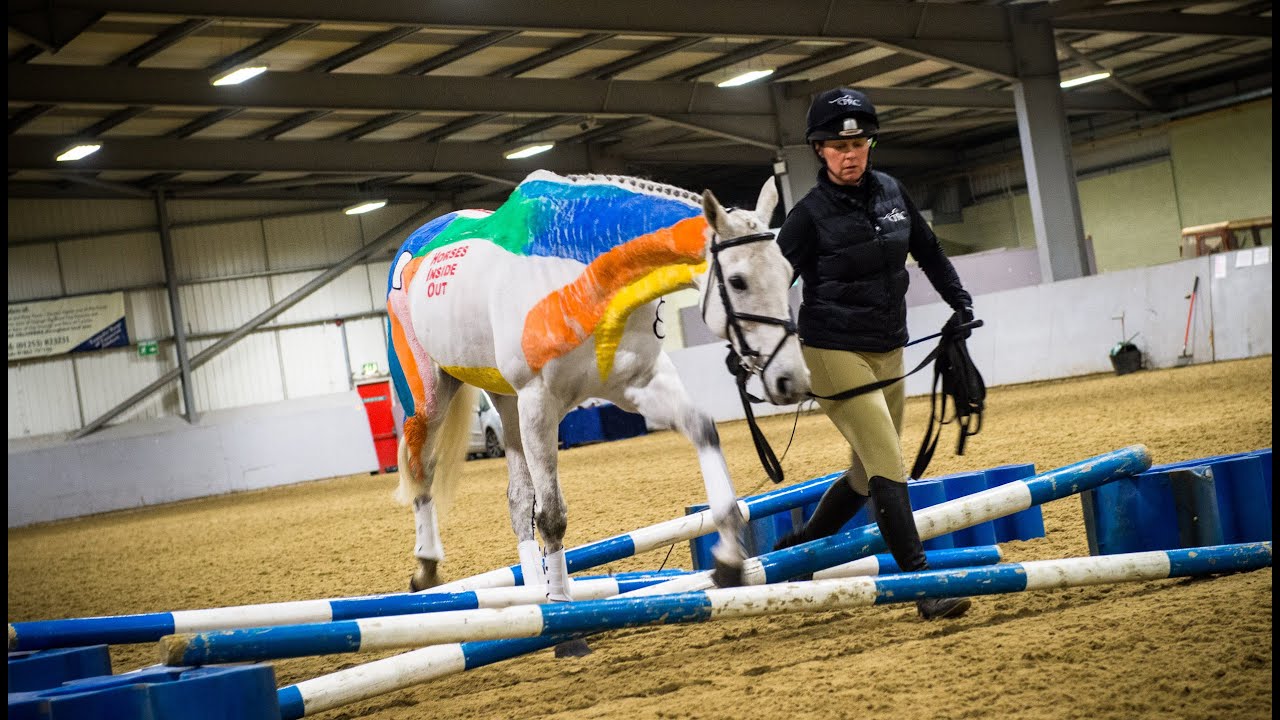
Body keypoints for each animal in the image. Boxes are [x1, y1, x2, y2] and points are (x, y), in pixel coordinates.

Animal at [384, 170, 809, 629]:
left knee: (517, 499)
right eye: (737, 281)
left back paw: (531, 589)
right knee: (422, 467)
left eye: (788, 272)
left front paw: (728, 558)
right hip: (429, 396)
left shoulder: (638, 384)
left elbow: (703, 430)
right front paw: (560, 605)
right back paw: (428, 567)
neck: (586, 270)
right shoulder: (540, 401)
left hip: (506, 402)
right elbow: (552, 514)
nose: (791, 380)